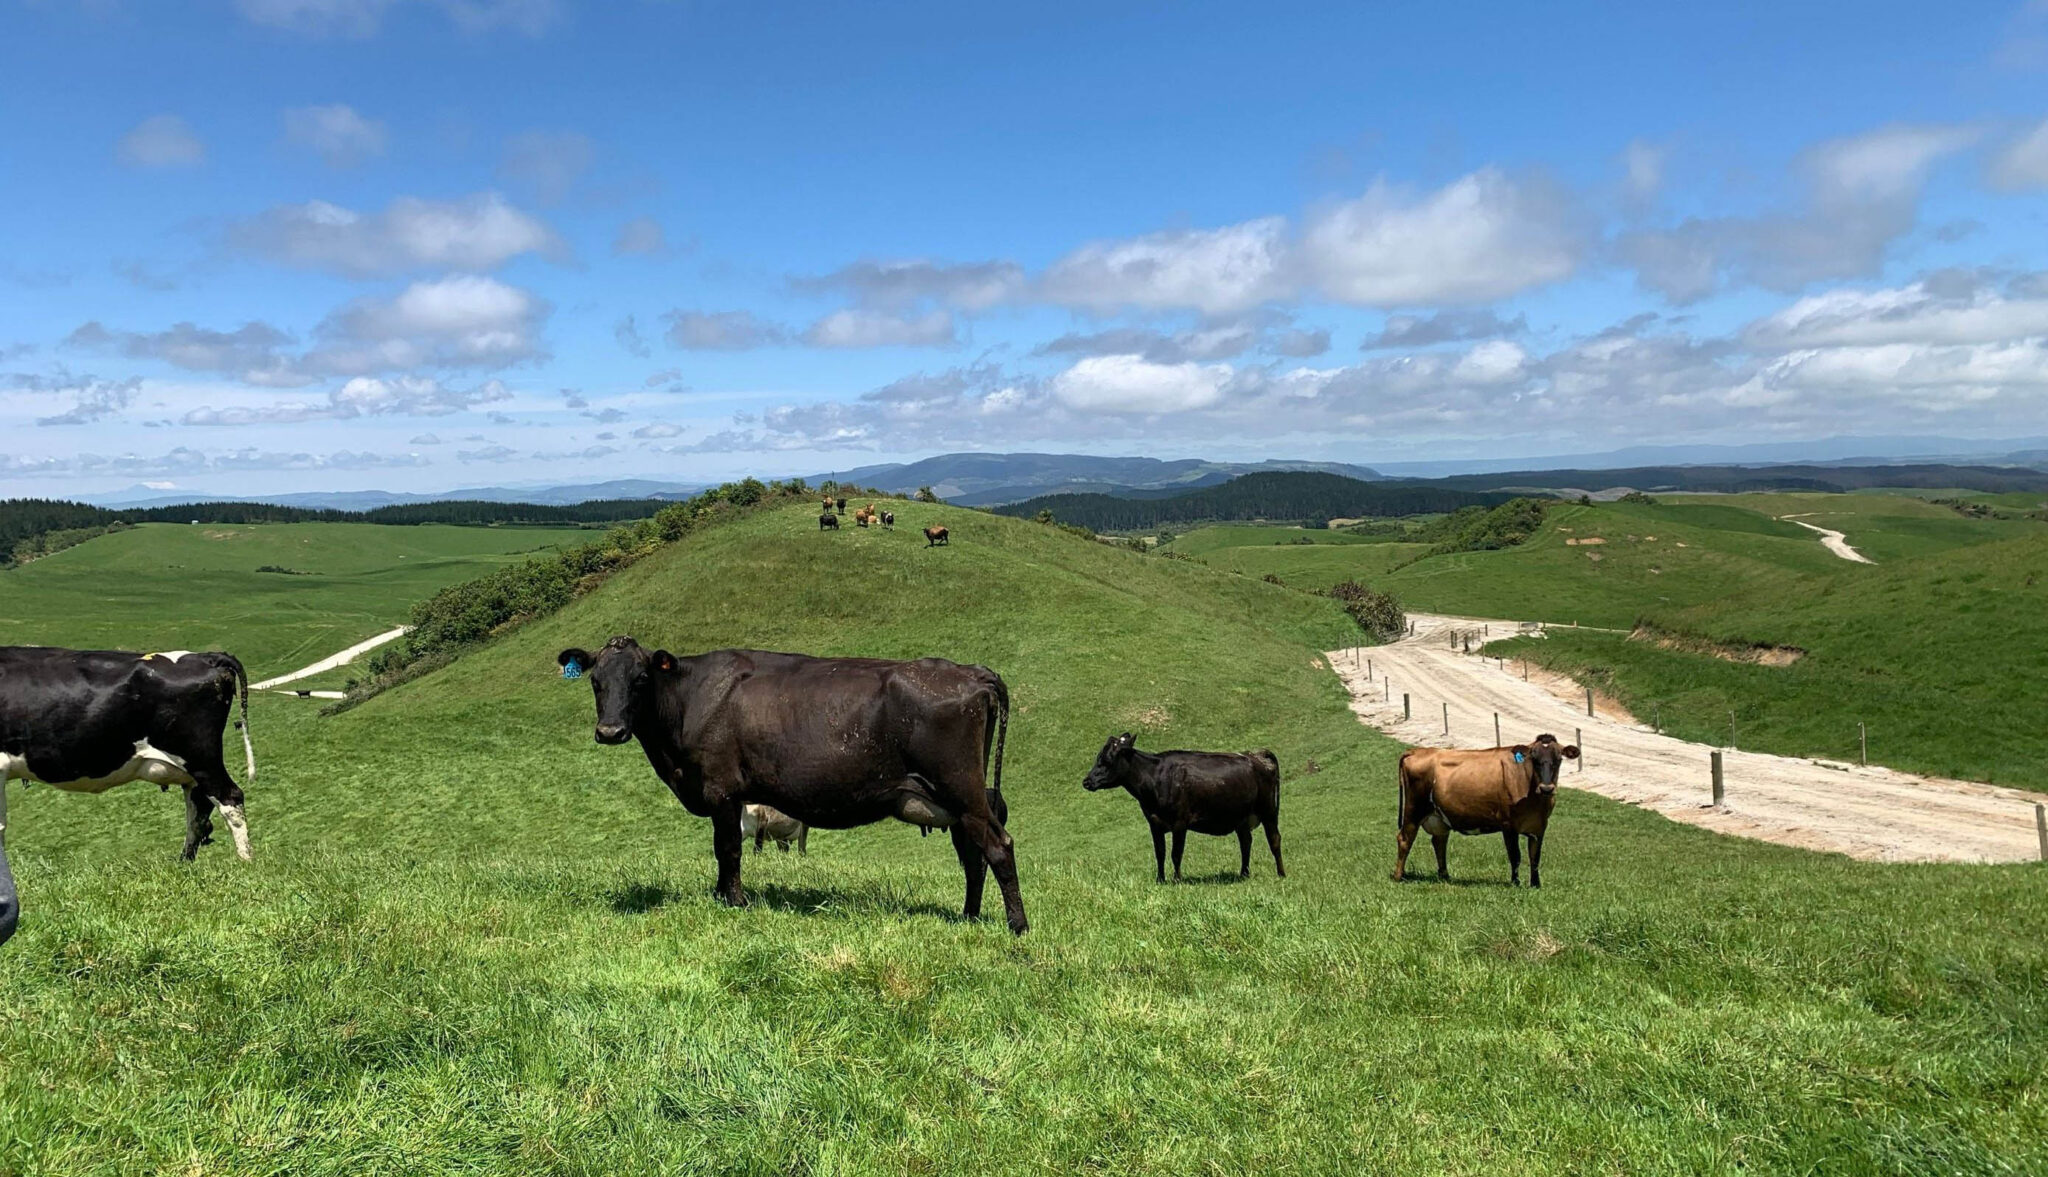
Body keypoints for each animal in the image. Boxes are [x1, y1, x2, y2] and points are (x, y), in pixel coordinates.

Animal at [1, 647, 257, 947]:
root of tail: (207, 656)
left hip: (200, 756)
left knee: (230, 798)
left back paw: (245, 863)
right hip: (192, 767)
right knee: (199, 810)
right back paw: (183, 865)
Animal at [557, 637, 1028, 934]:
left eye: (640, 679)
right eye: (596, 681)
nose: (610, 730)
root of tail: (971, 672)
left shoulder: (722, 790)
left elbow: (728, 848)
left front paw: (735, 901)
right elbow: (721, 850)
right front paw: (719, 895)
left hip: (962, 790)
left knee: (998, 847)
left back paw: (1017, 926)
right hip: (958, 800)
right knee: (972, 858)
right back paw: (968, 918)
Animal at [1082, 733, 1283, 883]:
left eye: (1106, 760)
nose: (1086, 781)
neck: (1156, 778)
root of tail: (1254, 755)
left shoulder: (1180, 822)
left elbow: (1176, 853)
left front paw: (1177, 879)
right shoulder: (1154, 823)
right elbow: (1160, 853)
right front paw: (1160, 880)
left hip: (1269, 811)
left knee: (1274, 839)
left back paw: (1281, 874)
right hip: (1241, 818)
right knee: (1246, 842)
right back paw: (1244, 874)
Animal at [1393, 734, 1579, 886]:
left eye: (1558, 759)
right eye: (1534, 759)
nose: (1547, 788)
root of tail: (1417, 751)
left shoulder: (1539, 827)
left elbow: (1535, 857)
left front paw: (1535, 884)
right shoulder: (1508, 825)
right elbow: (1515, 856)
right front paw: (1515, 883)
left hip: (1439, 817)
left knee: (1439, 842)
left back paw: (1445, 876)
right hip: (1414, 810)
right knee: (1405, 839)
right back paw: (1398, 876)